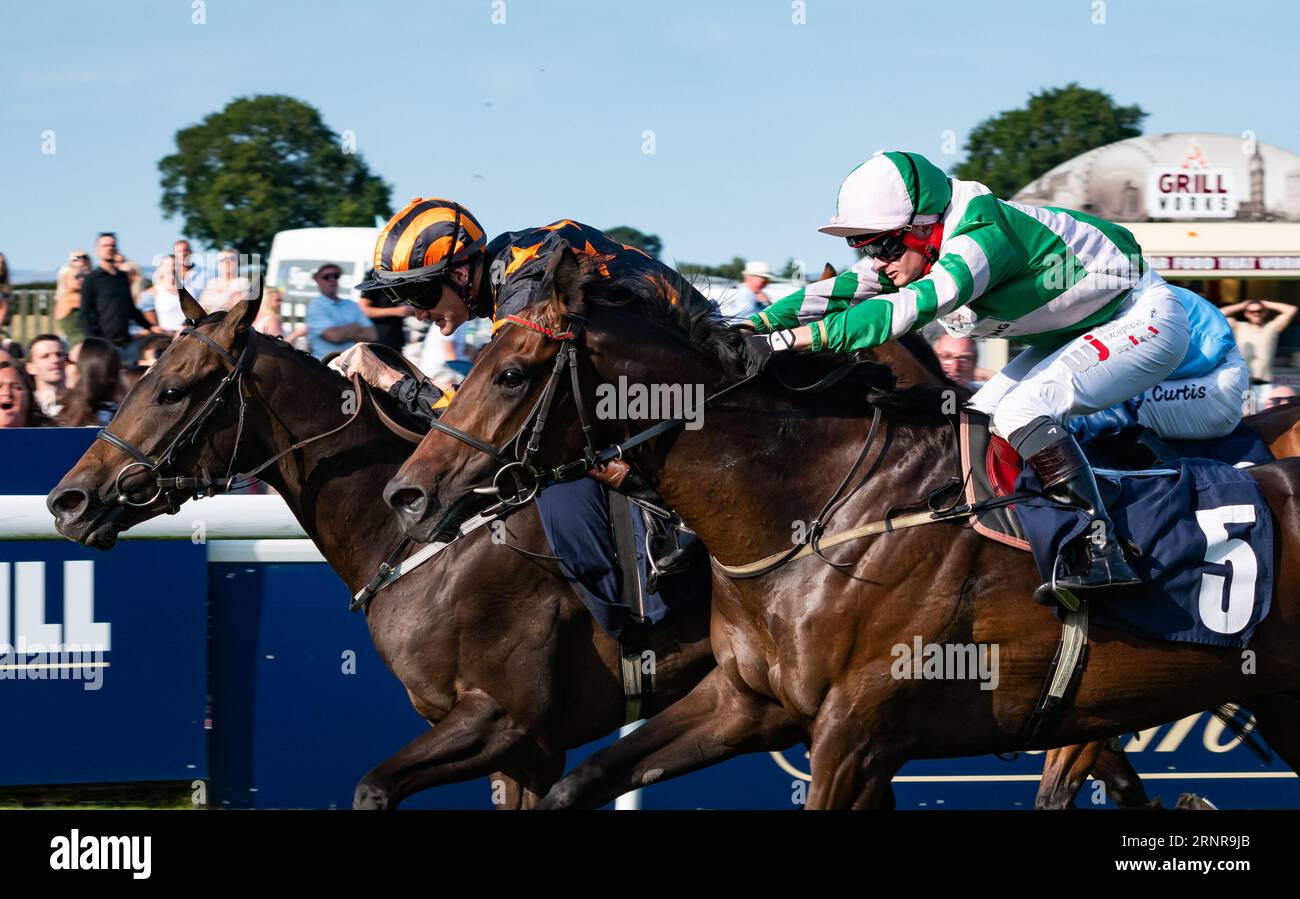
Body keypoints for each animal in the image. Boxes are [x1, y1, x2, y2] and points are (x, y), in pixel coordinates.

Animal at [45, 293, 712, 805]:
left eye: (173, 391)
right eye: (140, 378)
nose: (67, 500)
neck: (426, 541)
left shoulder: (509, 721)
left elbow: (373, 786)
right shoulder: (526, 753)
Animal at [379, 249, 1300, 810]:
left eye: (510, 373)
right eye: (480, 356)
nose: (408, 493)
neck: (819, 512)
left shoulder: (856, 735)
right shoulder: (747, 701)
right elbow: (581, 781)